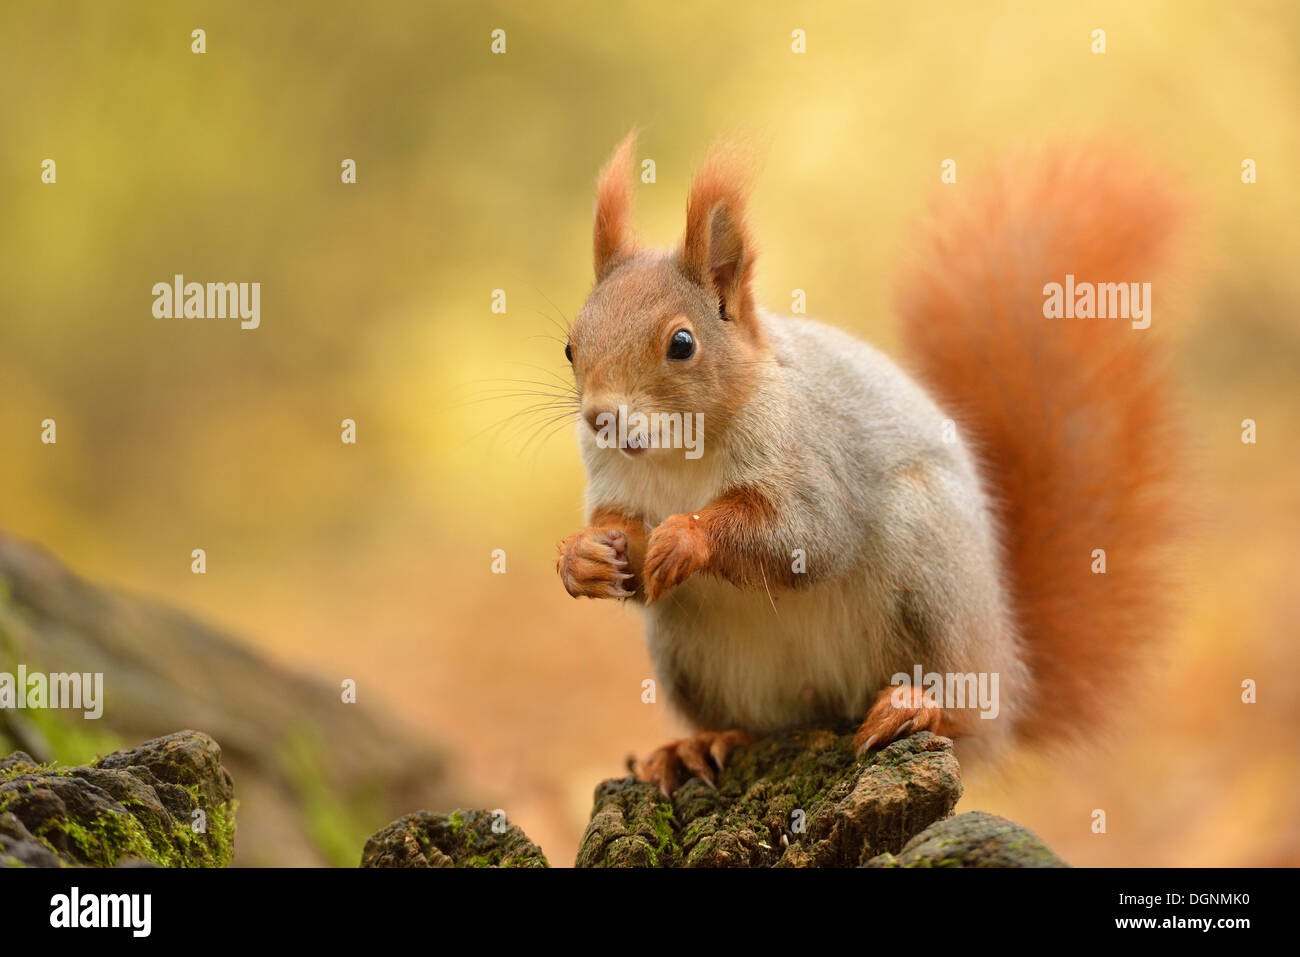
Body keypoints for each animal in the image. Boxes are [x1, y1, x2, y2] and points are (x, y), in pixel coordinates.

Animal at [556, 132, 1182, 795]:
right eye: (571, 346)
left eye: (682, 343)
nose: (601, 417)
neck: (679, 453)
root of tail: (1010, 676)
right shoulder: (613, 480)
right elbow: (623, 537)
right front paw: (583, 557)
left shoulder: (810, 455)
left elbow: (804, 533)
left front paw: (684, 537)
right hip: (692, 658)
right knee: (750, 725)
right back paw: (701, 744)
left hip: (928, 566)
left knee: (961, 712)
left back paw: (918, 707)